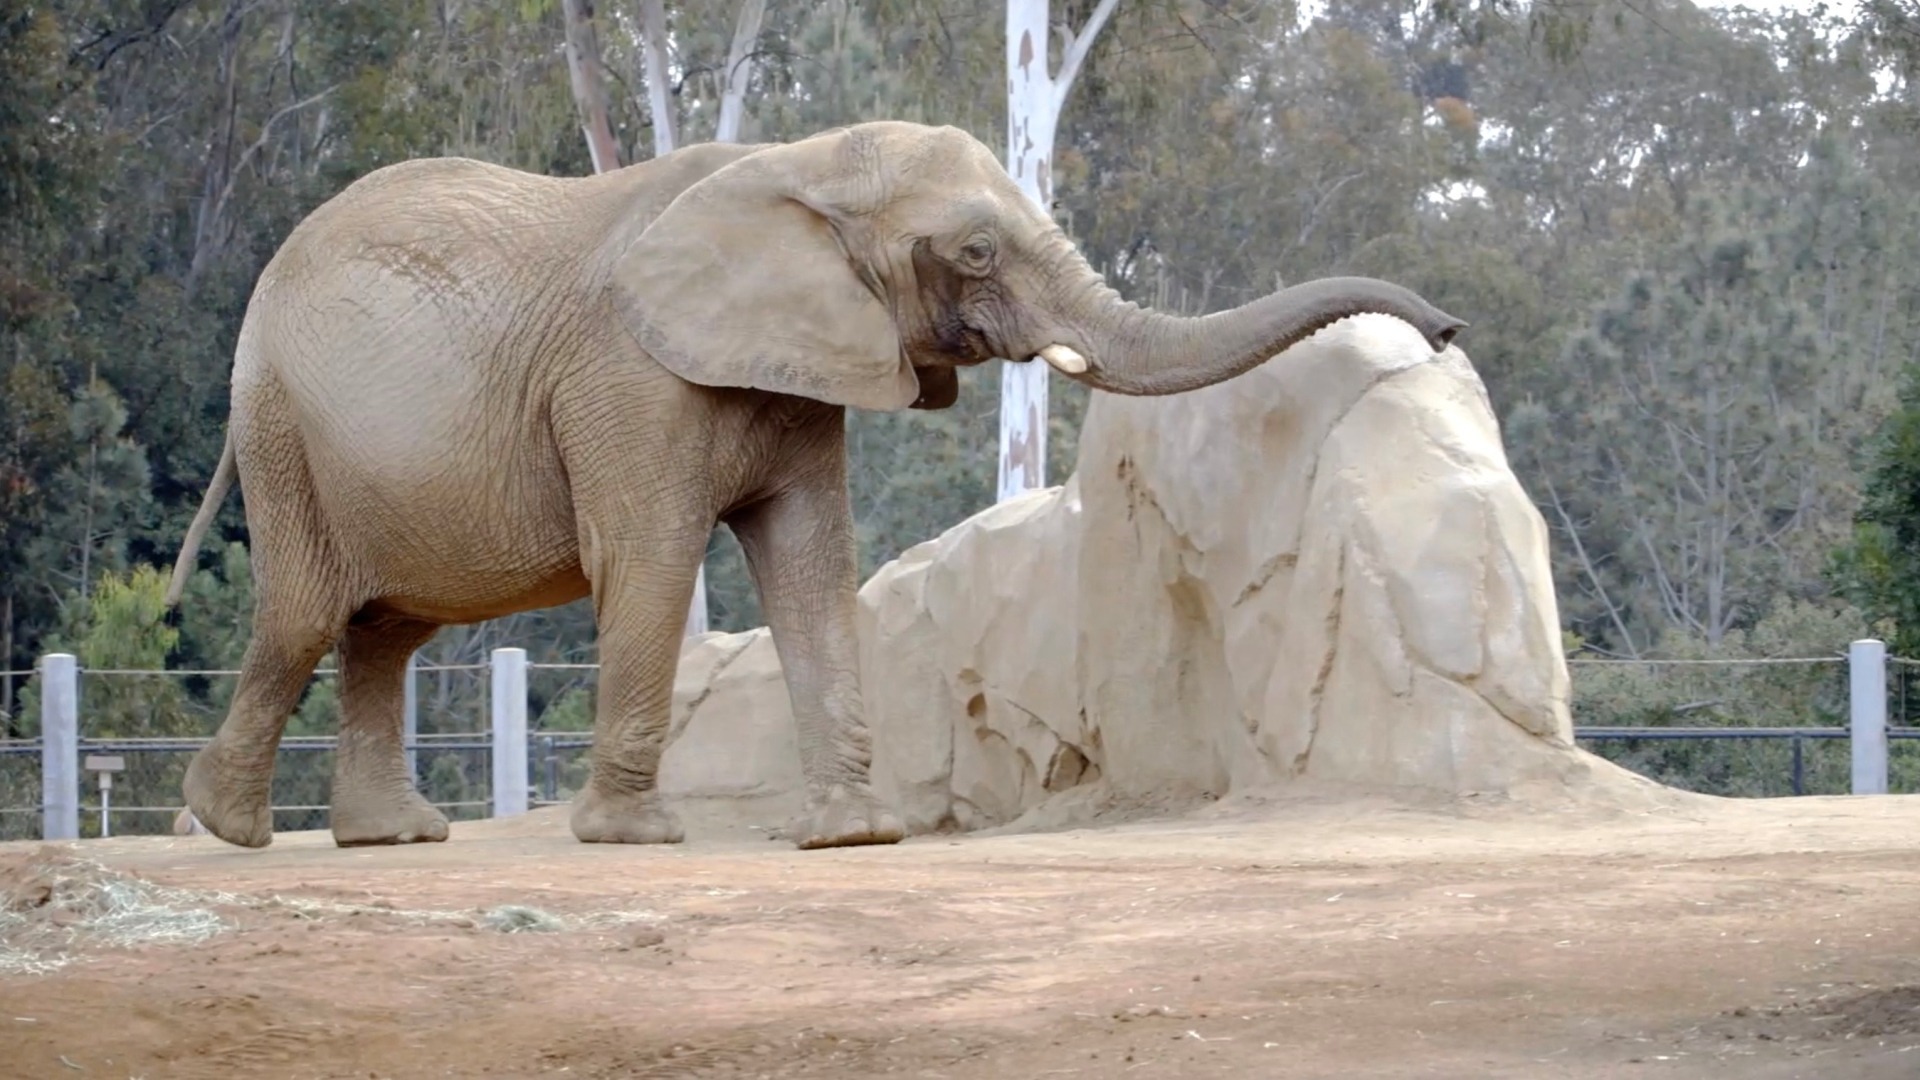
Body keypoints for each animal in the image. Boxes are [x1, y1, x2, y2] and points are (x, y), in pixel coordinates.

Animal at [162, 119, 1465, 851]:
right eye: (977, 251)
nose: (1449, 329)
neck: (795, 165)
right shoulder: (629, 374)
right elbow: (650, 561)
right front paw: (636, 838)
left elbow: (809, 562)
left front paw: (854, 836)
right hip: (285, 428)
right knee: (307, 615)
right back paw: (231, 829)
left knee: (386, 630)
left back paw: (389, 840)